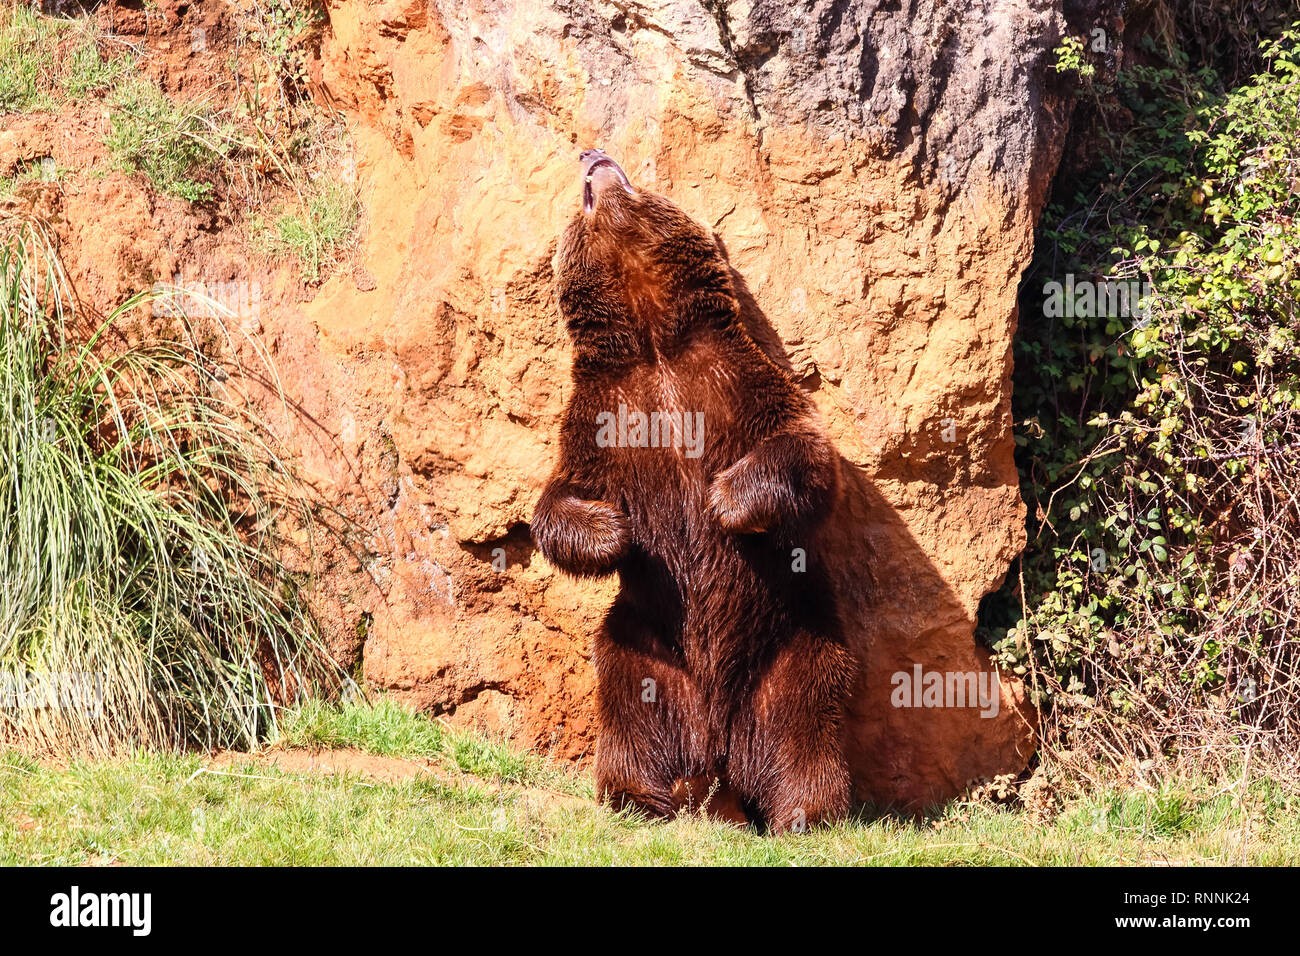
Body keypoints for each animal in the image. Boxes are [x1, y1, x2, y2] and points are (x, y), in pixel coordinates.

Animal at [531, 148, 856, 832]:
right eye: (583, 190)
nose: (592, 153)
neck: (654, 341)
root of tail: (720, 747)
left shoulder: (738, 384)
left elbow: (807, 454)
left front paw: (727, 501)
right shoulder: (602, 418)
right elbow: (559, 500)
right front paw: (613, 530)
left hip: (792, 637)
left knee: (810, 712)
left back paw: (805, 810)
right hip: (650, 645)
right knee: (628, 704)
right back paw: (642, 794)